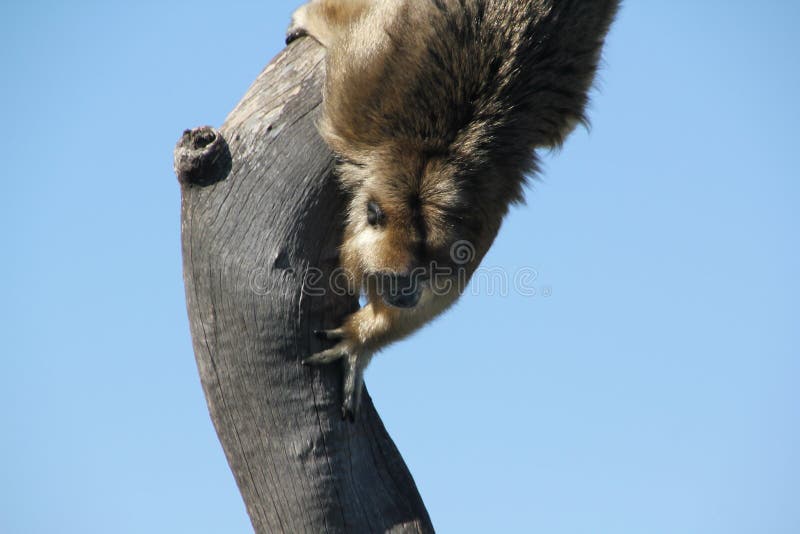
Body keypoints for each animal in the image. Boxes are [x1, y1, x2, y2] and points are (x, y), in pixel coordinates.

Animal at [286, 0, 619, 420]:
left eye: (424, 276)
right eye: (398, 277)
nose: (407, 296)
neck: (424, 167)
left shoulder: (478, 217)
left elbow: (446, 294)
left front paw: (360, 340)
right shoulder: (356, 89)